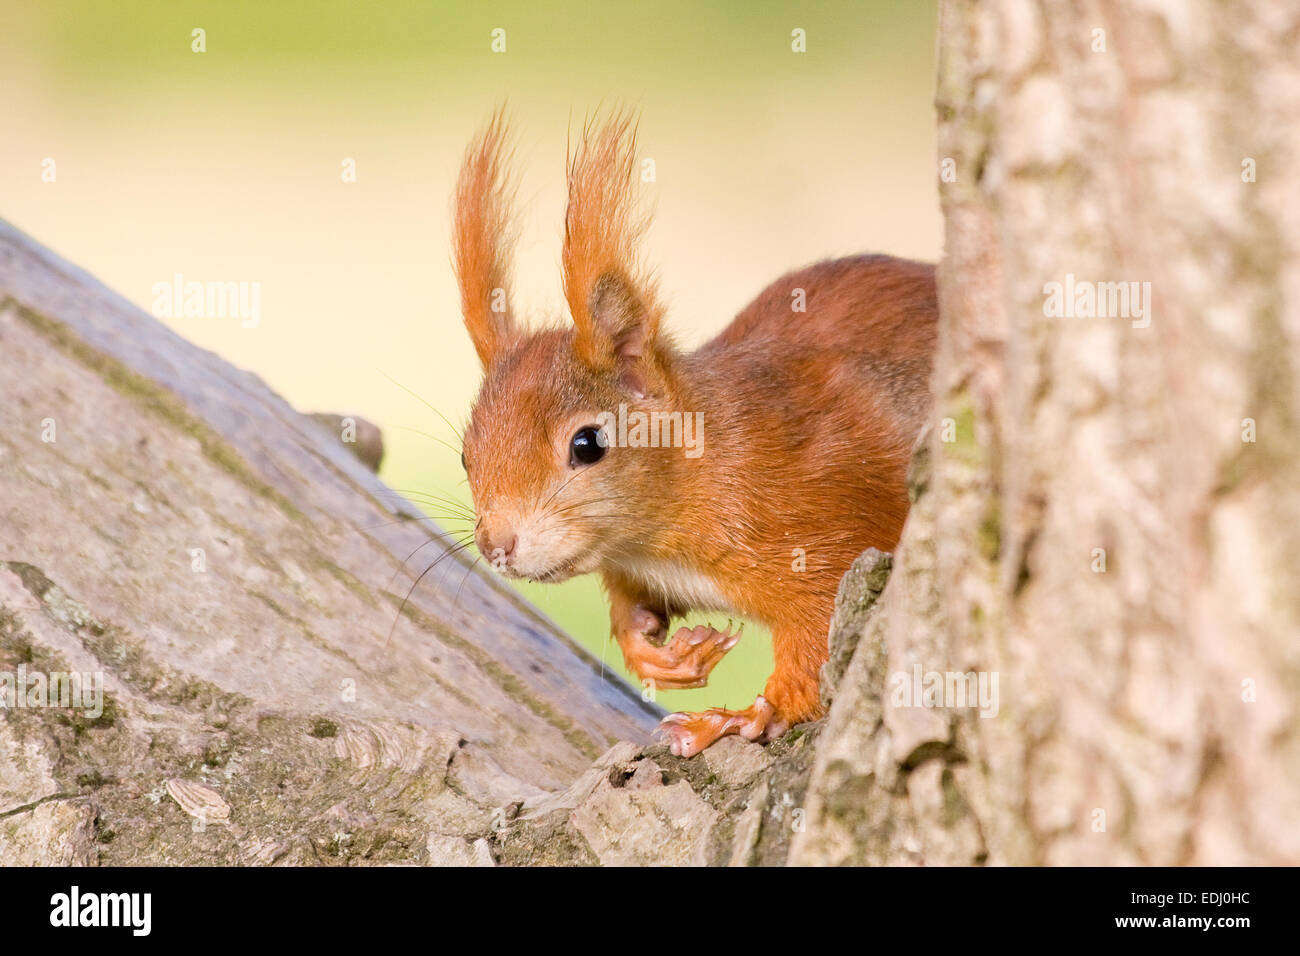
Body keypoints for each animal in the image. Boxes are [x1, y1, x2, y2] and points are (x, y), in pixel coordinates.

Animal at [452, 110, 938, 757]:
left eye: (588, 445)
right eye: (465, 455)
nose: (495, 546)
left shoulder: (828, 523)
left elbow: (813, 643)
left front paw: (743, 716)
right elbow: (632, 609)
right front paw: (657, 655)